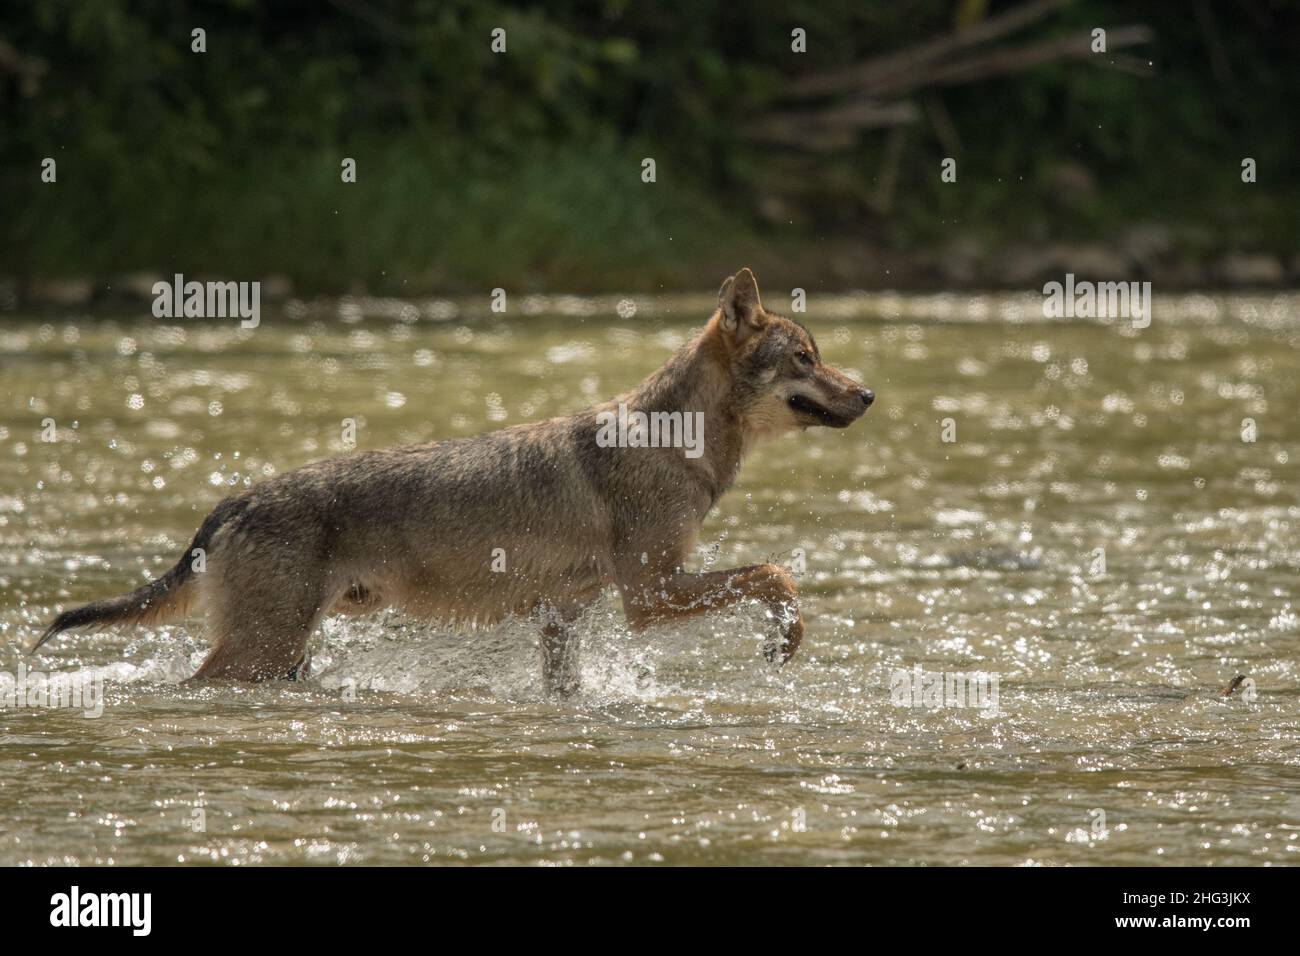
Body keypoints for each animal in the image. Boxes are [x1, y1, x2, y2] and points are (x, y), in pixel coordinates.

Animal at [34, 269, 873, 693]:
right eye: (805, 358)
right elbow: (778, 574)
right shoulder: (651, 594)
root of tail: (228, 501)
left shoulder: (565, 614)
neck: (677, 442)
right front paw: (784, 646)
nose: (868, 394)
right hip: (264, 648)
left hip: (284, 650)